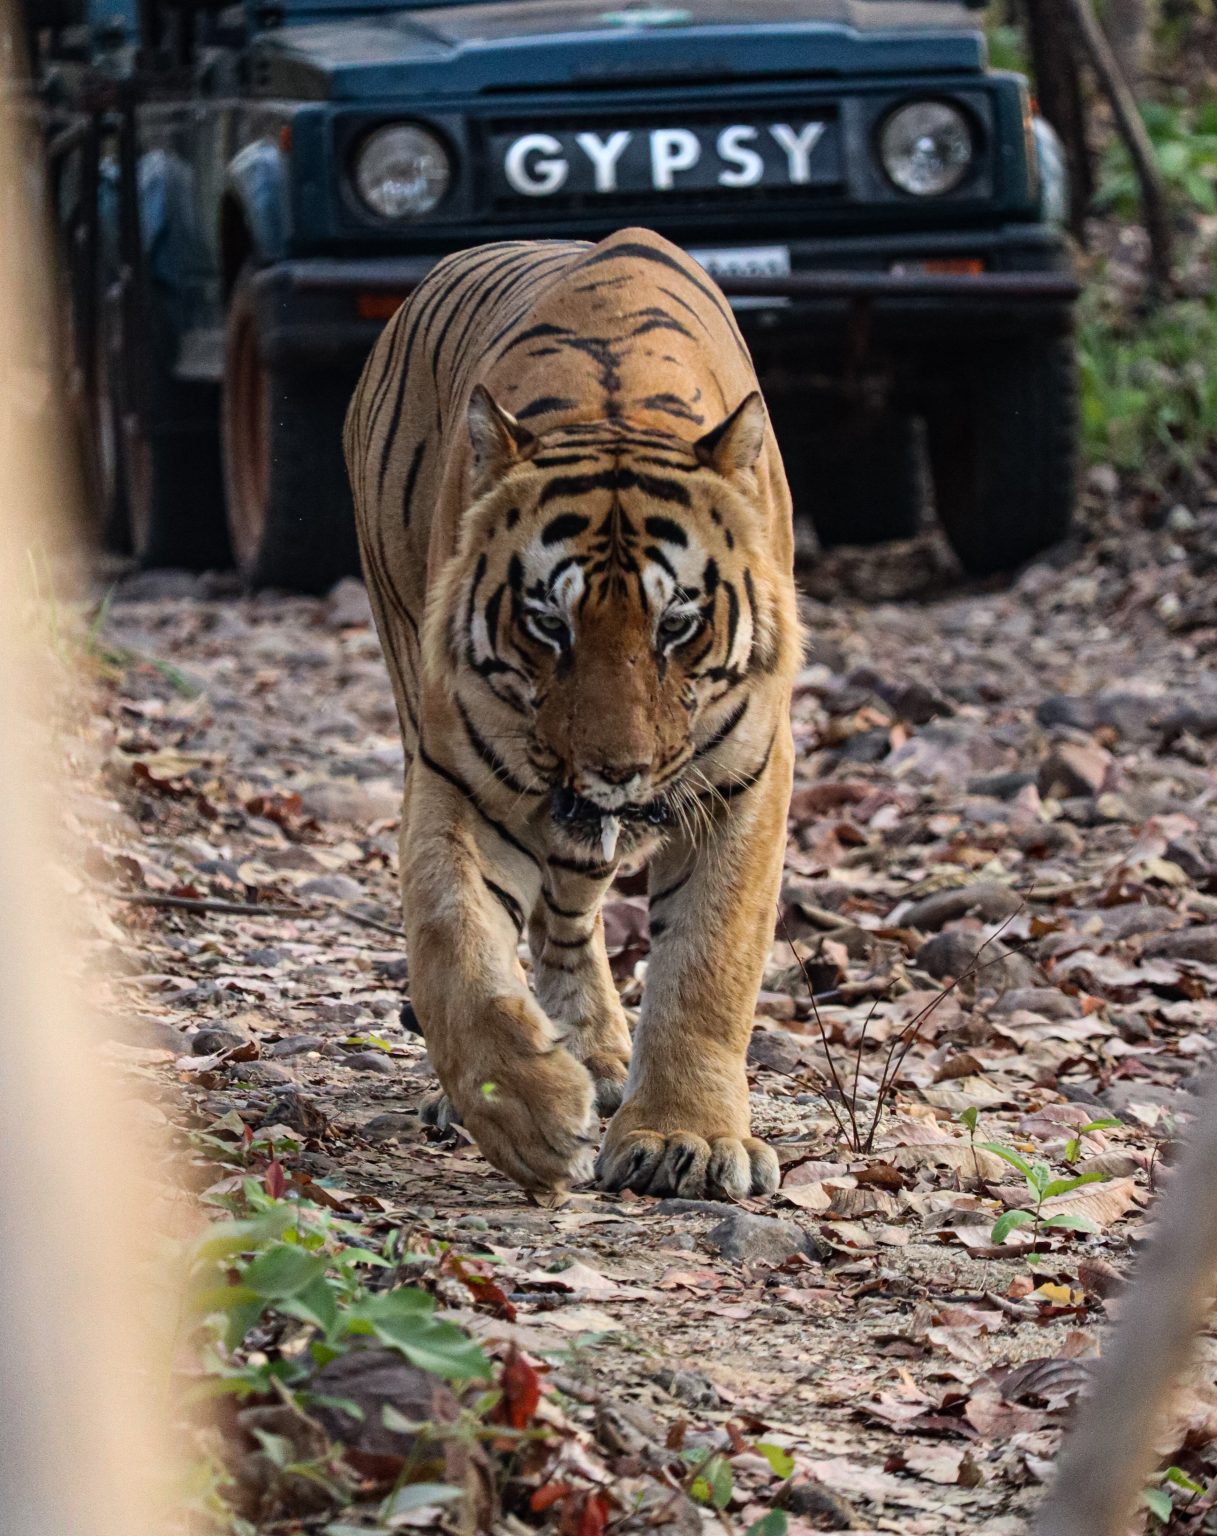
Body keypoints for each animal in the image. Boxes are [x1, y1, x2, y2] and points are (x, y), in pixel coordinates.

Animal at [344, 226, 800, 1200]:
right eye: (548, 624)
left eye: (677, 624)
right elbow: (454, 943)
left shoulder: (746, 777)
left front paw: (683, 1137)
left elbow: (708, 960)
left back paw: (598, 1061)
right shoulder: (460, 777)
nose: (615, 771)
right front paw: (525, 1113)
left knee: (569, 918)